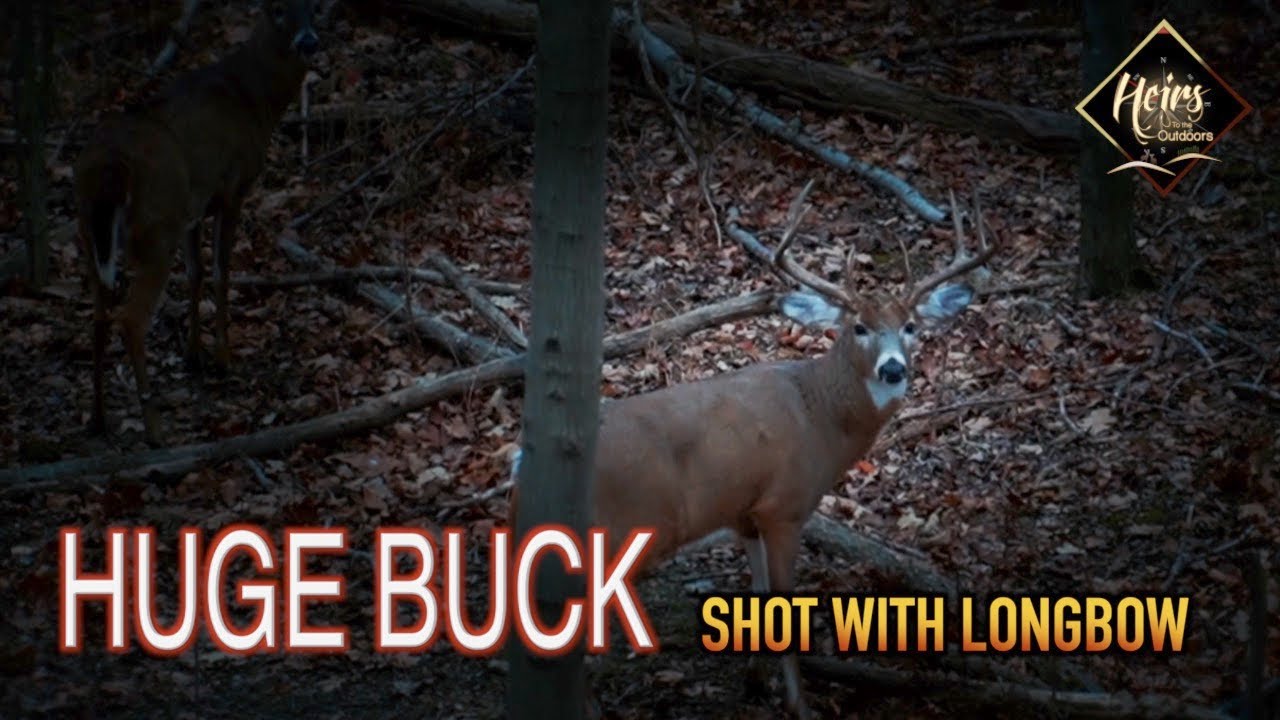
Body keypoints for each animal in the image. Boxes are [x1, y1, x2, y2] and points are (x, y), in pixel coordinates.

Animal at [74, 0, 319, 445]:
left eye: (313, 7)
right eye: (276, 10)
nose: (309, 41)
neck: (254, 98)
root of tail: (107, 169)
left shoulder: (193, 208)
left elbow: (195, 271)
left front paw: (193, 355)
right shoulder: (232, 187)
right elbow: (222, 271)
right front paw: (223, 356)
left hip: (89, 234)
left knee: (99, 318)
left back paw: (98, 419)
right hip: (155, 230)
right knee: (130, 320)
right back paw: (154, 428)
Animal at [509, 187, 995, 718]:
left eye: (910, 326)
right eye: (859, 328)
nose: (892, 369)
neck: (820, 412)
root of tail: (524, 462)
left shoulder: (745, 512)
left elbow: (760, 599)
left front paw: (756, 681)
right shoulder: (785, 506)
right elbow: (785, 608)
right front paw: (801, 704)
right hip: (624, 529)